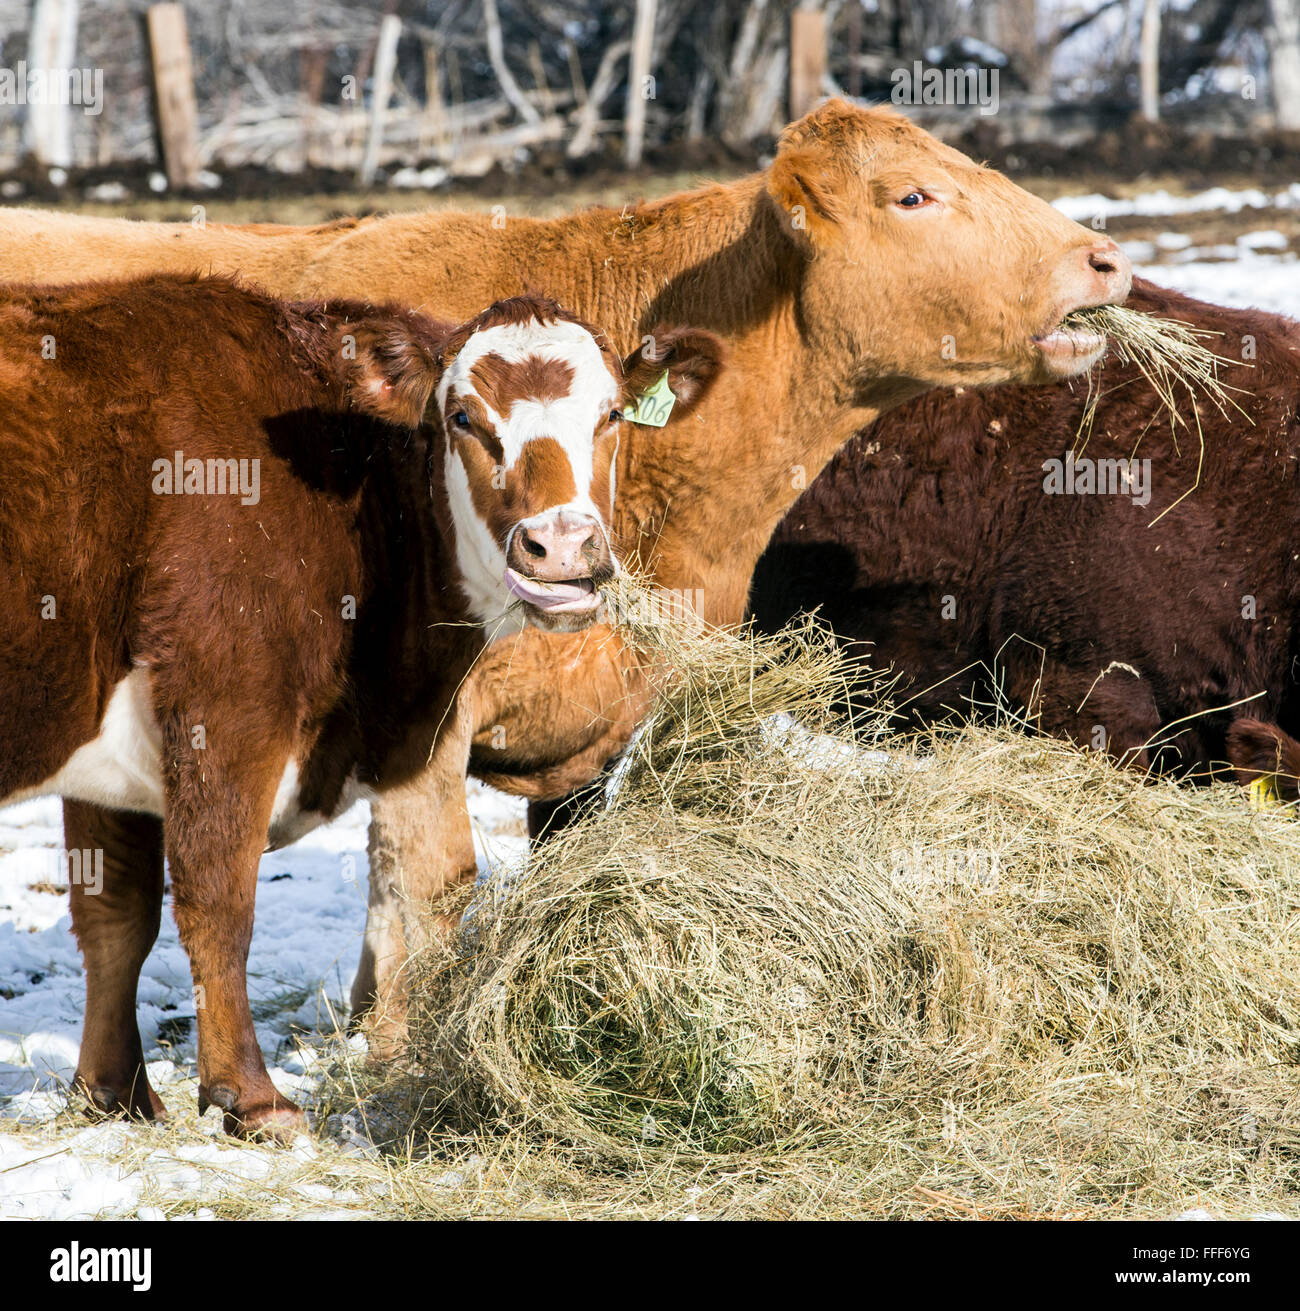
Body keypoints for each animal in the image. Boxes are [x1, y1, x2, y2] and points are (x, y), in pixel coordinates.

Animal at [0, 276, 722, 1139]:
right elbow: (218, 901)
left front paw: (113, 1092)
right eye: (464, 417)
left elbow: (115, 914)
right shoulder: (226, 707)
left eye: (610, 413)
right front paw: (251, 1096)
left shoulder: (111, 751)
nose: (563, 547)